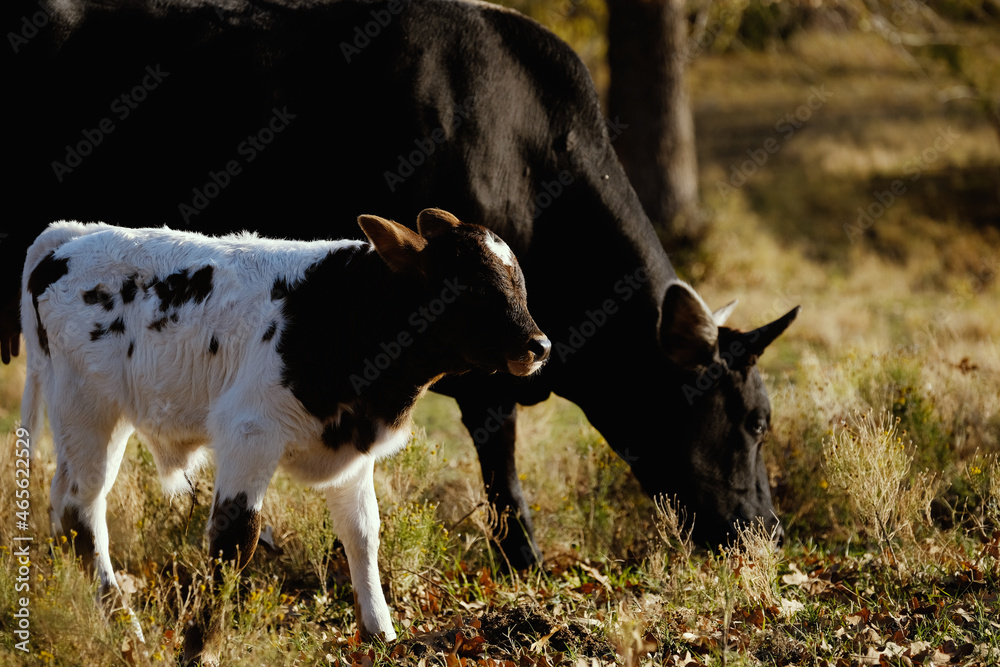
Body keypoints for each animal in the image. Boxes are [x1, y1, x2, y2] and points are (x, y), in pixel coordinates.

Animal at [20, 209, 550, 661]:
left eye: (518, 280)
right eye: (471, 286)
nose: (539, 345)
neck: (340, 316)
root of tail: (74, 236)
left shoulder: (352, 449)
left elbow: (362, 533)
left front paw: (381, 634)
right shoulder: (249, 433)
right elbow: (235, 538)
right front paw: (200, 650)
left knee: (63, 505)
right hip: (88, 411)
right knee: (82, 510)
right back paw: (122, 624)